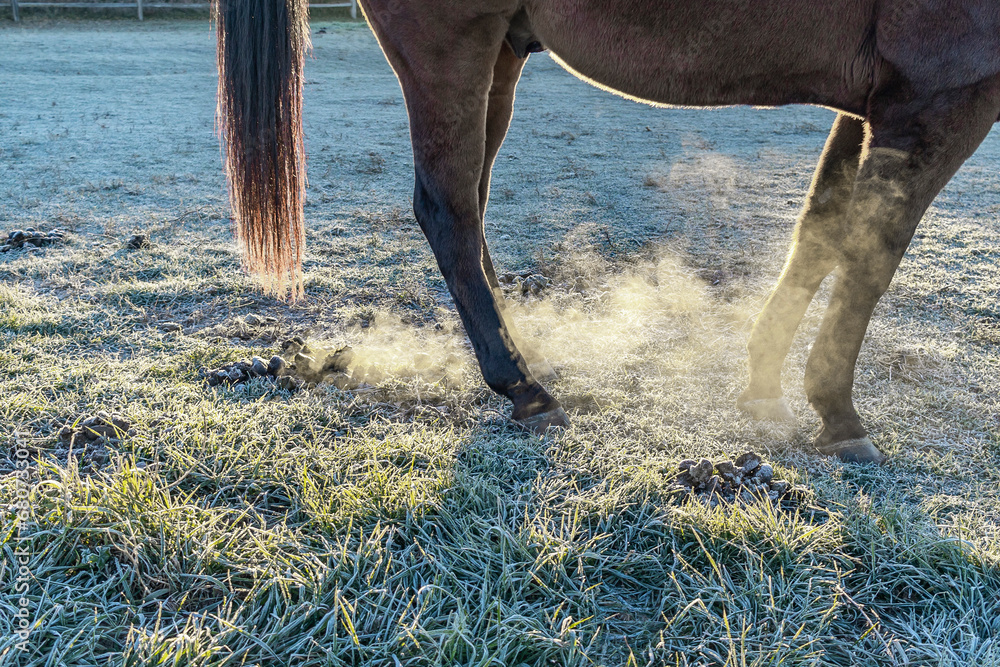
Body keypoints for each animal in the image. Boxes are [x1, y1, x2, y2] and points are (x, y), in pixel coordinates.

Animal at [212, 0, 1000, 464]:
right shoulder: (940, 96)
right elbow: (870, 256)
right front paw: (836, 410)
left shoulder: (872, 104)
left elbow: (820, 232)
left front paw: (763, 382)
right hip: (449, 49)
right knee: (448, 209)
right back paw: (523, 385)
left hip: (499, 53)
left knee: (469, 203)